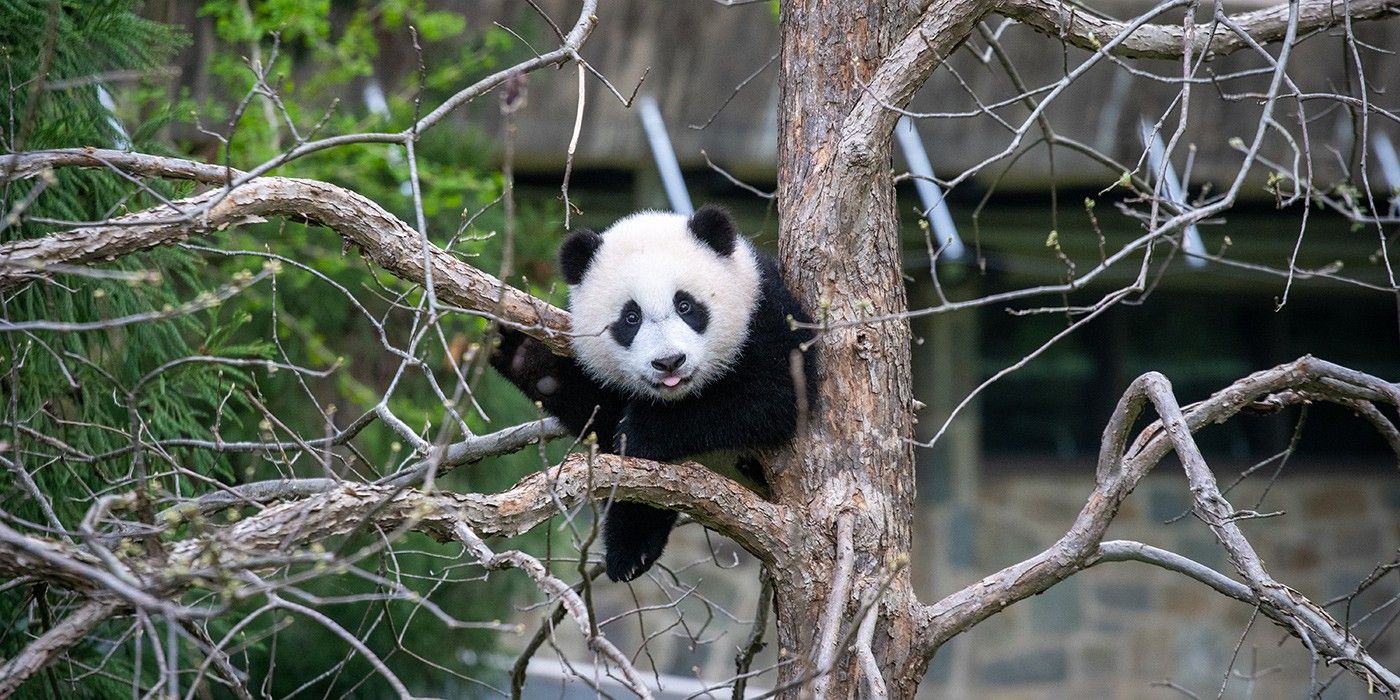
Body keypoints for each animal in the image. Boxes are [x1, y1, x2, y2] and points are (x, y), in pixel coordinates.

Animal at [490, 204, 818, 582]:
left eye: (685, 305)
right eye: (630, 317)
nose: (669, 362)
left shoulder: (766, 307)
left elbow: (774, 395)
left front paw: (642, 430)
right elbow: (594, 410)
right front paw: (517, 347)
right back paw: (630, 551)